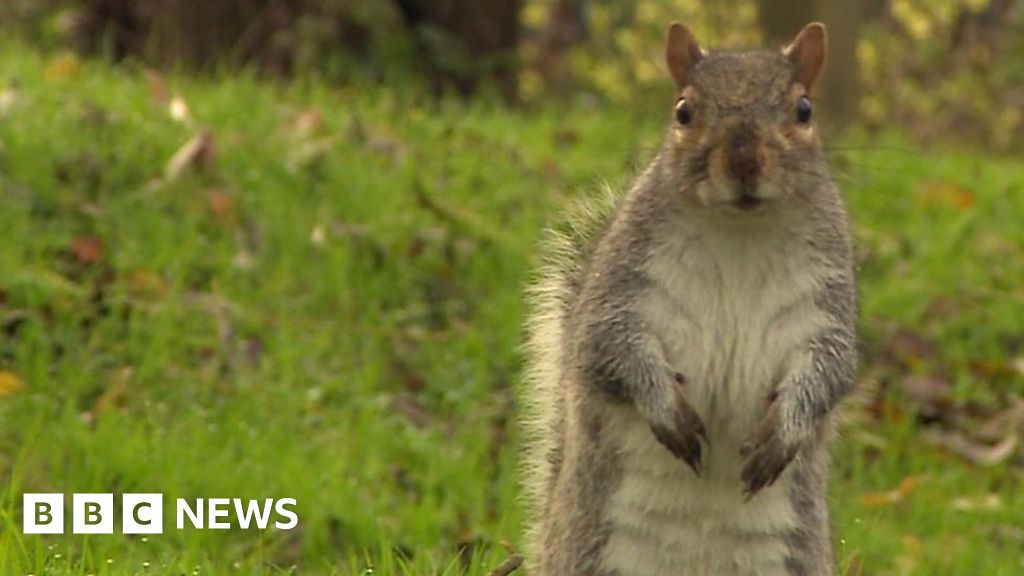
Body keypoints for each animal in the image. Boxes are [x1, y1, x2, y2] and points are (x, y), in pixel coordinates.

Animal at [521, 22, 857, 576]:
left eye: (804, 109)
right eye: (683, 111)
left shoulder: (826, 305)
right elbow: (608, 348)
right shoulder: (622, 288)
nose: (743, 158)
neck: (740, 232)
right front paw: (667, 409)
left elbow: (830, 372)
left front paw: (785, 431)